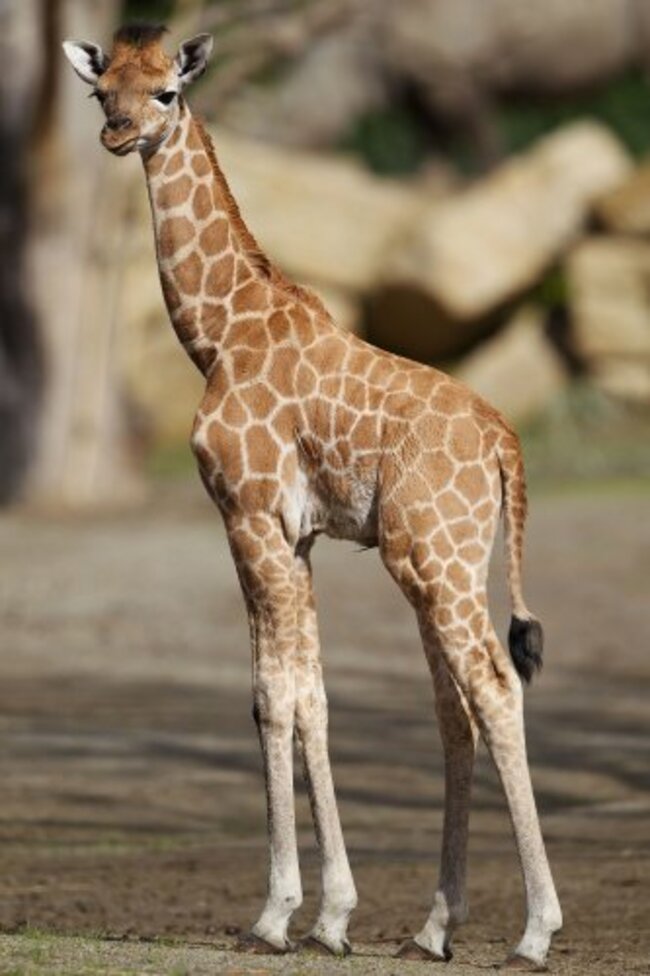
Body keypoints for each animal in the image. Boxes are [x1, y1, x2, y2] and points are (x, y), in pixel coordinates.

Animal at [63, 24, 562, 970]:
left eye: (166, 94)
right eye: (101, 90)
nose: (117, 135)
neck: (216, 336)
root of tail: (504, 443)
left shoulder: (248, 515)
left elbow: (272, 697)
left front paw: (276, 916)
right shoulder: (296, 534)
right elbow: (314, 697)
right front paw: (332, 917)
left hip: (432, 557)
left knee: (494, 687)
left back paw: (535, 932)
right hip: (447, 560)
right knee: (455, 707)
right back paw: (432, 929)